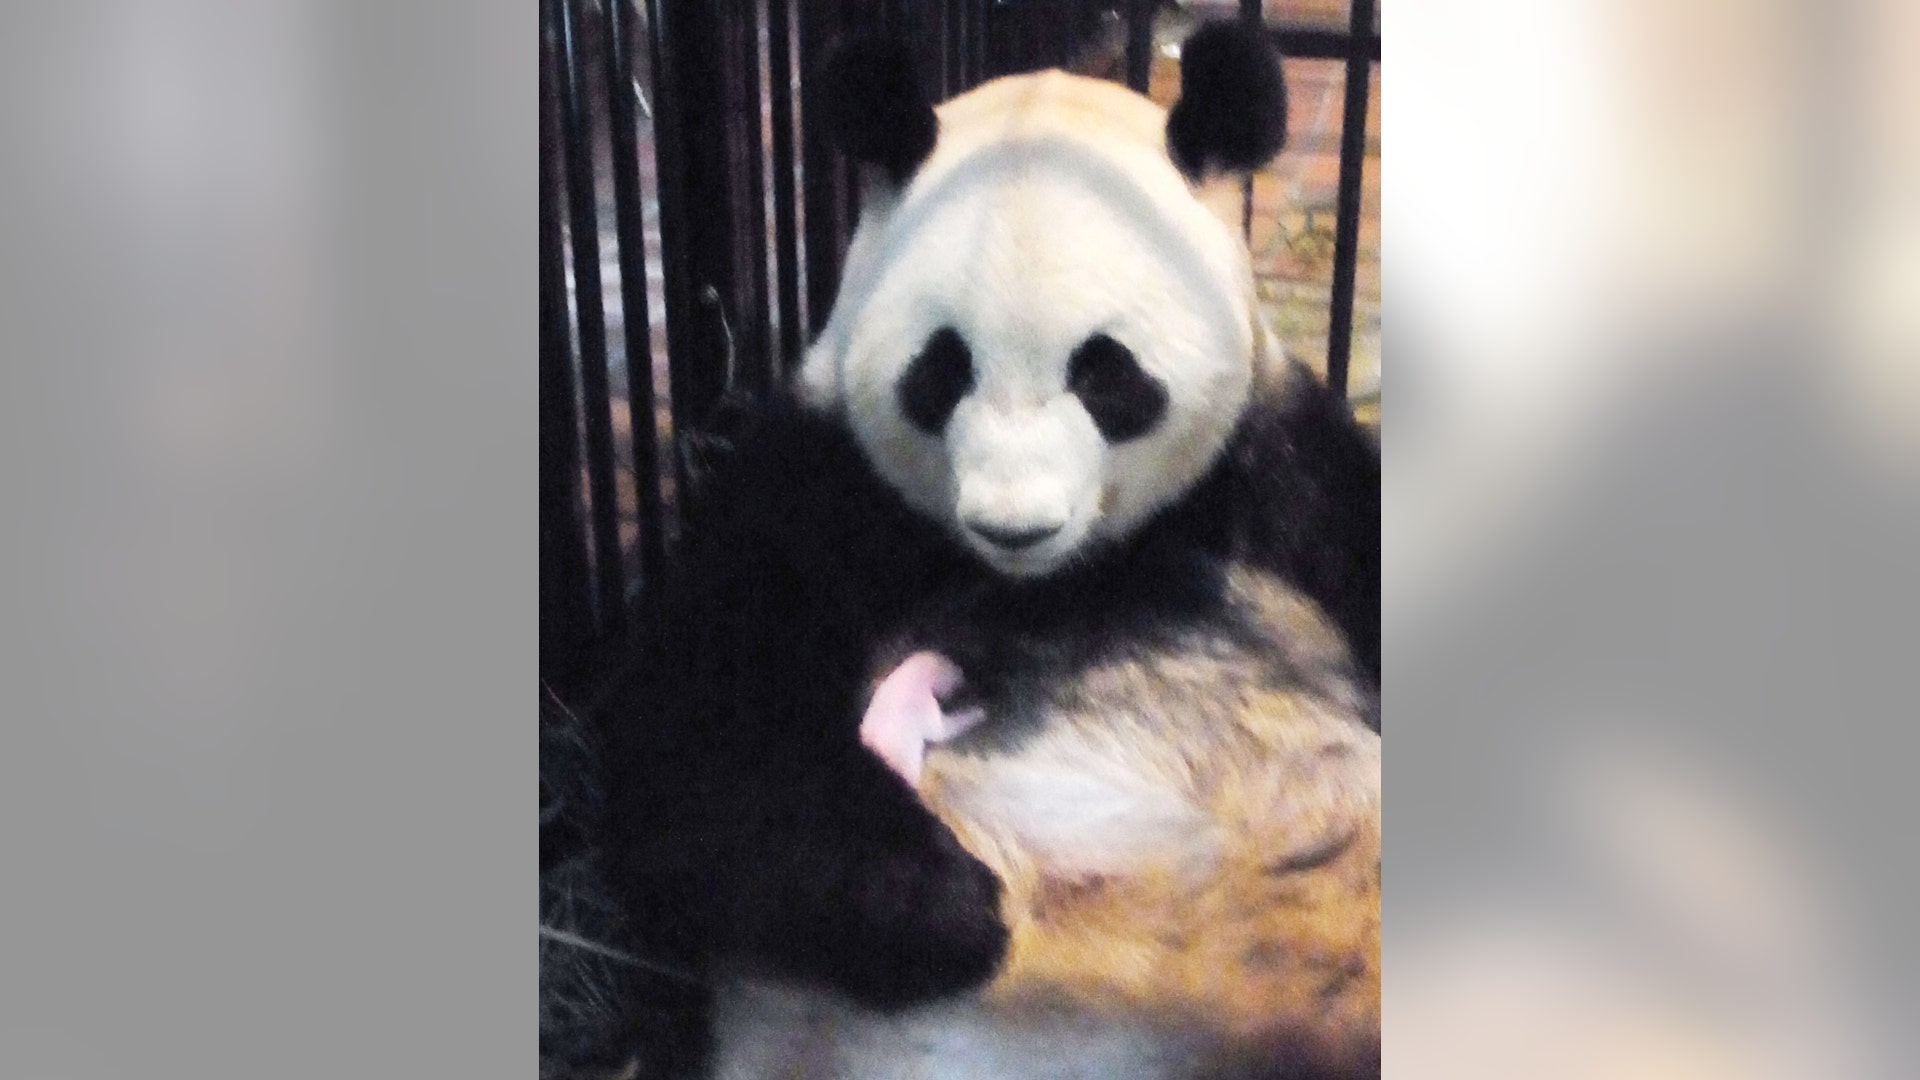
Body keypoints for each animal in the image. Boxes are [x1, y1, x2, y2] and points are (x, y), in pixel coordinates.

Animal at [598, 22, 1379, 1080]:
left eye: (1106, 374)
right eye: (942, 369)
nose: (1015, 525)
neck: (1046, 578)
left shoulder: (1279, 463)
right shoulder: (822, 478)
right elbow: (698, 726)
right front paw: (946, 910)